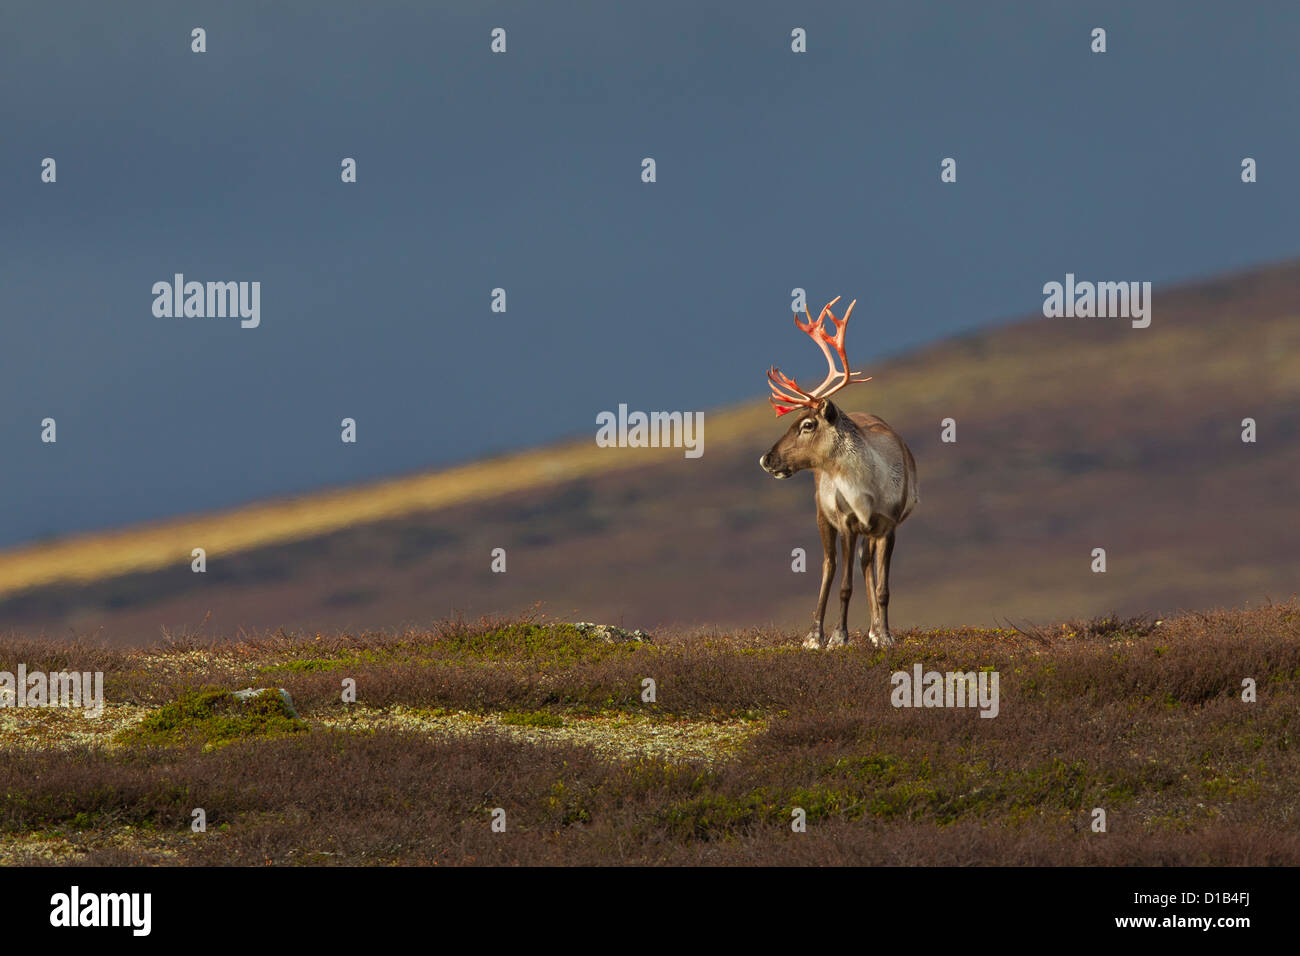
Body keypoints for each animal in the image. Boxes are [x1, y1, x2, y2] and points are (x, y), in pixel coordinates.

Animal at [759, 297, 918, 650]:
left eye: (807, 424)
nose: (766, 458)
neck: (869, 488)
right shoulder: (846, 522)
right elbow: (843, 585)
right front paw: (837, 636)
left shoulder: (888, 526)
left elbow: (884, 588)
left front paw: (885, 635)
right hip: (823, 514)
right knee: (829, 566)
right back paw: (814, 634)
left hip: (868, 533)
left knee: (865, 564)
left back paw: (873, 630)